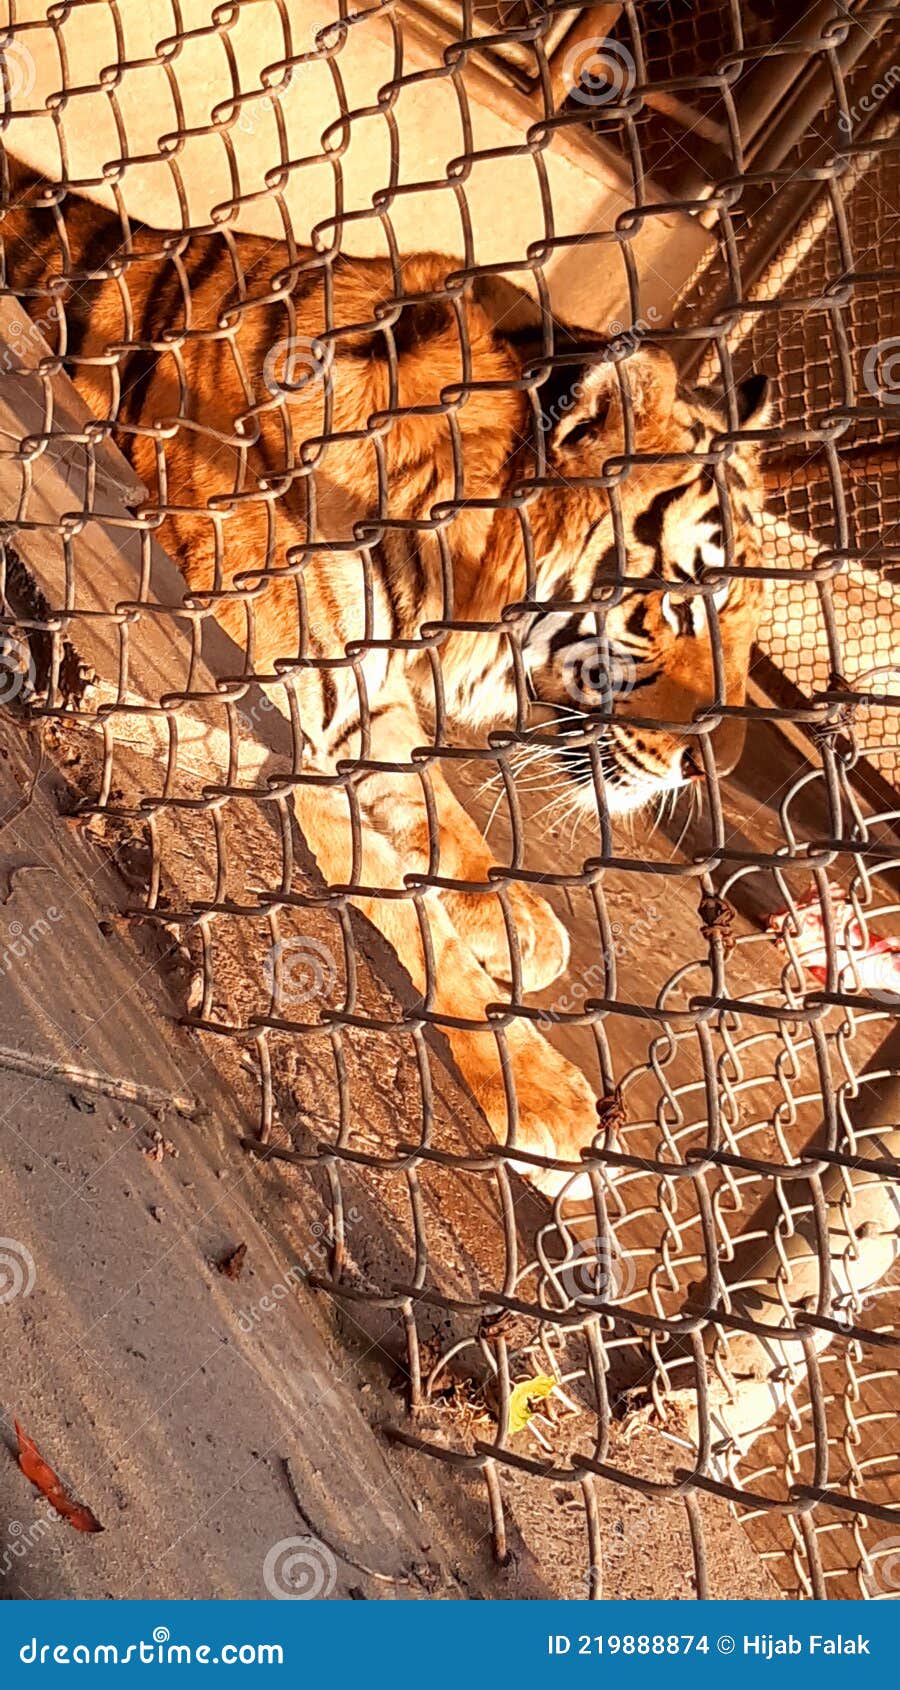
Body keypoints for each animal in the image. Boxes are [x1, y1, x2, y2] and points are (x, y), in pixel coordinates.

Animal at [0, 158, 771, 1201]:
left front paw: (519, 919)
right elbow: (415, 922)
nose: (712, 768)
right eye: (689, 601)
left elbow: (443, 817)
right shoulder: (271, 732)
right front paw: (549, 1103)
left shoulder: (365, 702)